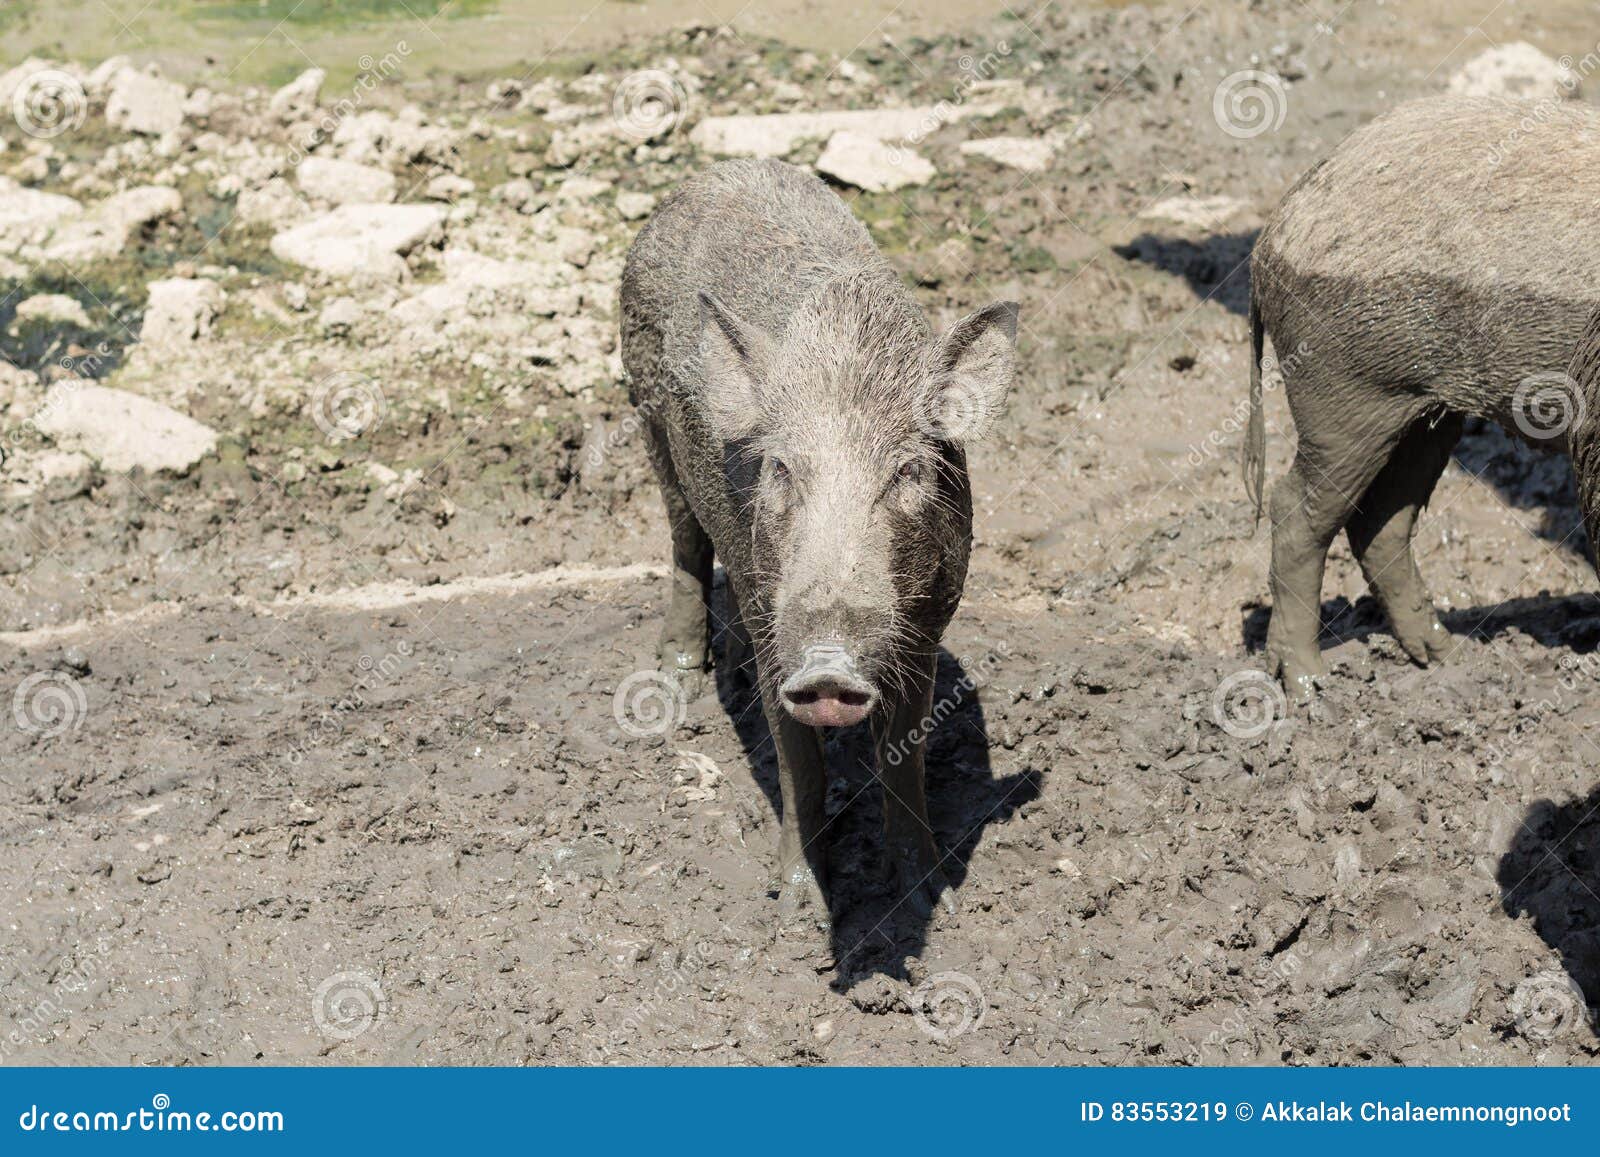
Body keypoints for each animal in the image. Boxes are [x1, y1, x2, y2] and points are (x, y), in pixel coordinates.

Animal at [620, 158, 1018, 926]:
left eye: (907, 471)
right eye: (781, 467)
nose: (829, 668)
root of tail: (716, 173)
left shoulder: (929, 621)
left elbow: (903, 757)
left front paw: (930, 896)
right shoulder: (770, 617)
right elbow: (795, 759)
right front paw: (794, 912)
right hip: (644, 410)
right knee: (684, 540)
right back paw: (679, 674)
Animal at [1243, 95, 1600, 699]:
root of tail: (1267, 241)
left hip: (1426, 412)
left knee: (1380, 520)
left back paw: (1445, 656)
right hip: (1344, 393)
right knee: (1295, 510)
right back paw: (1312, 686)